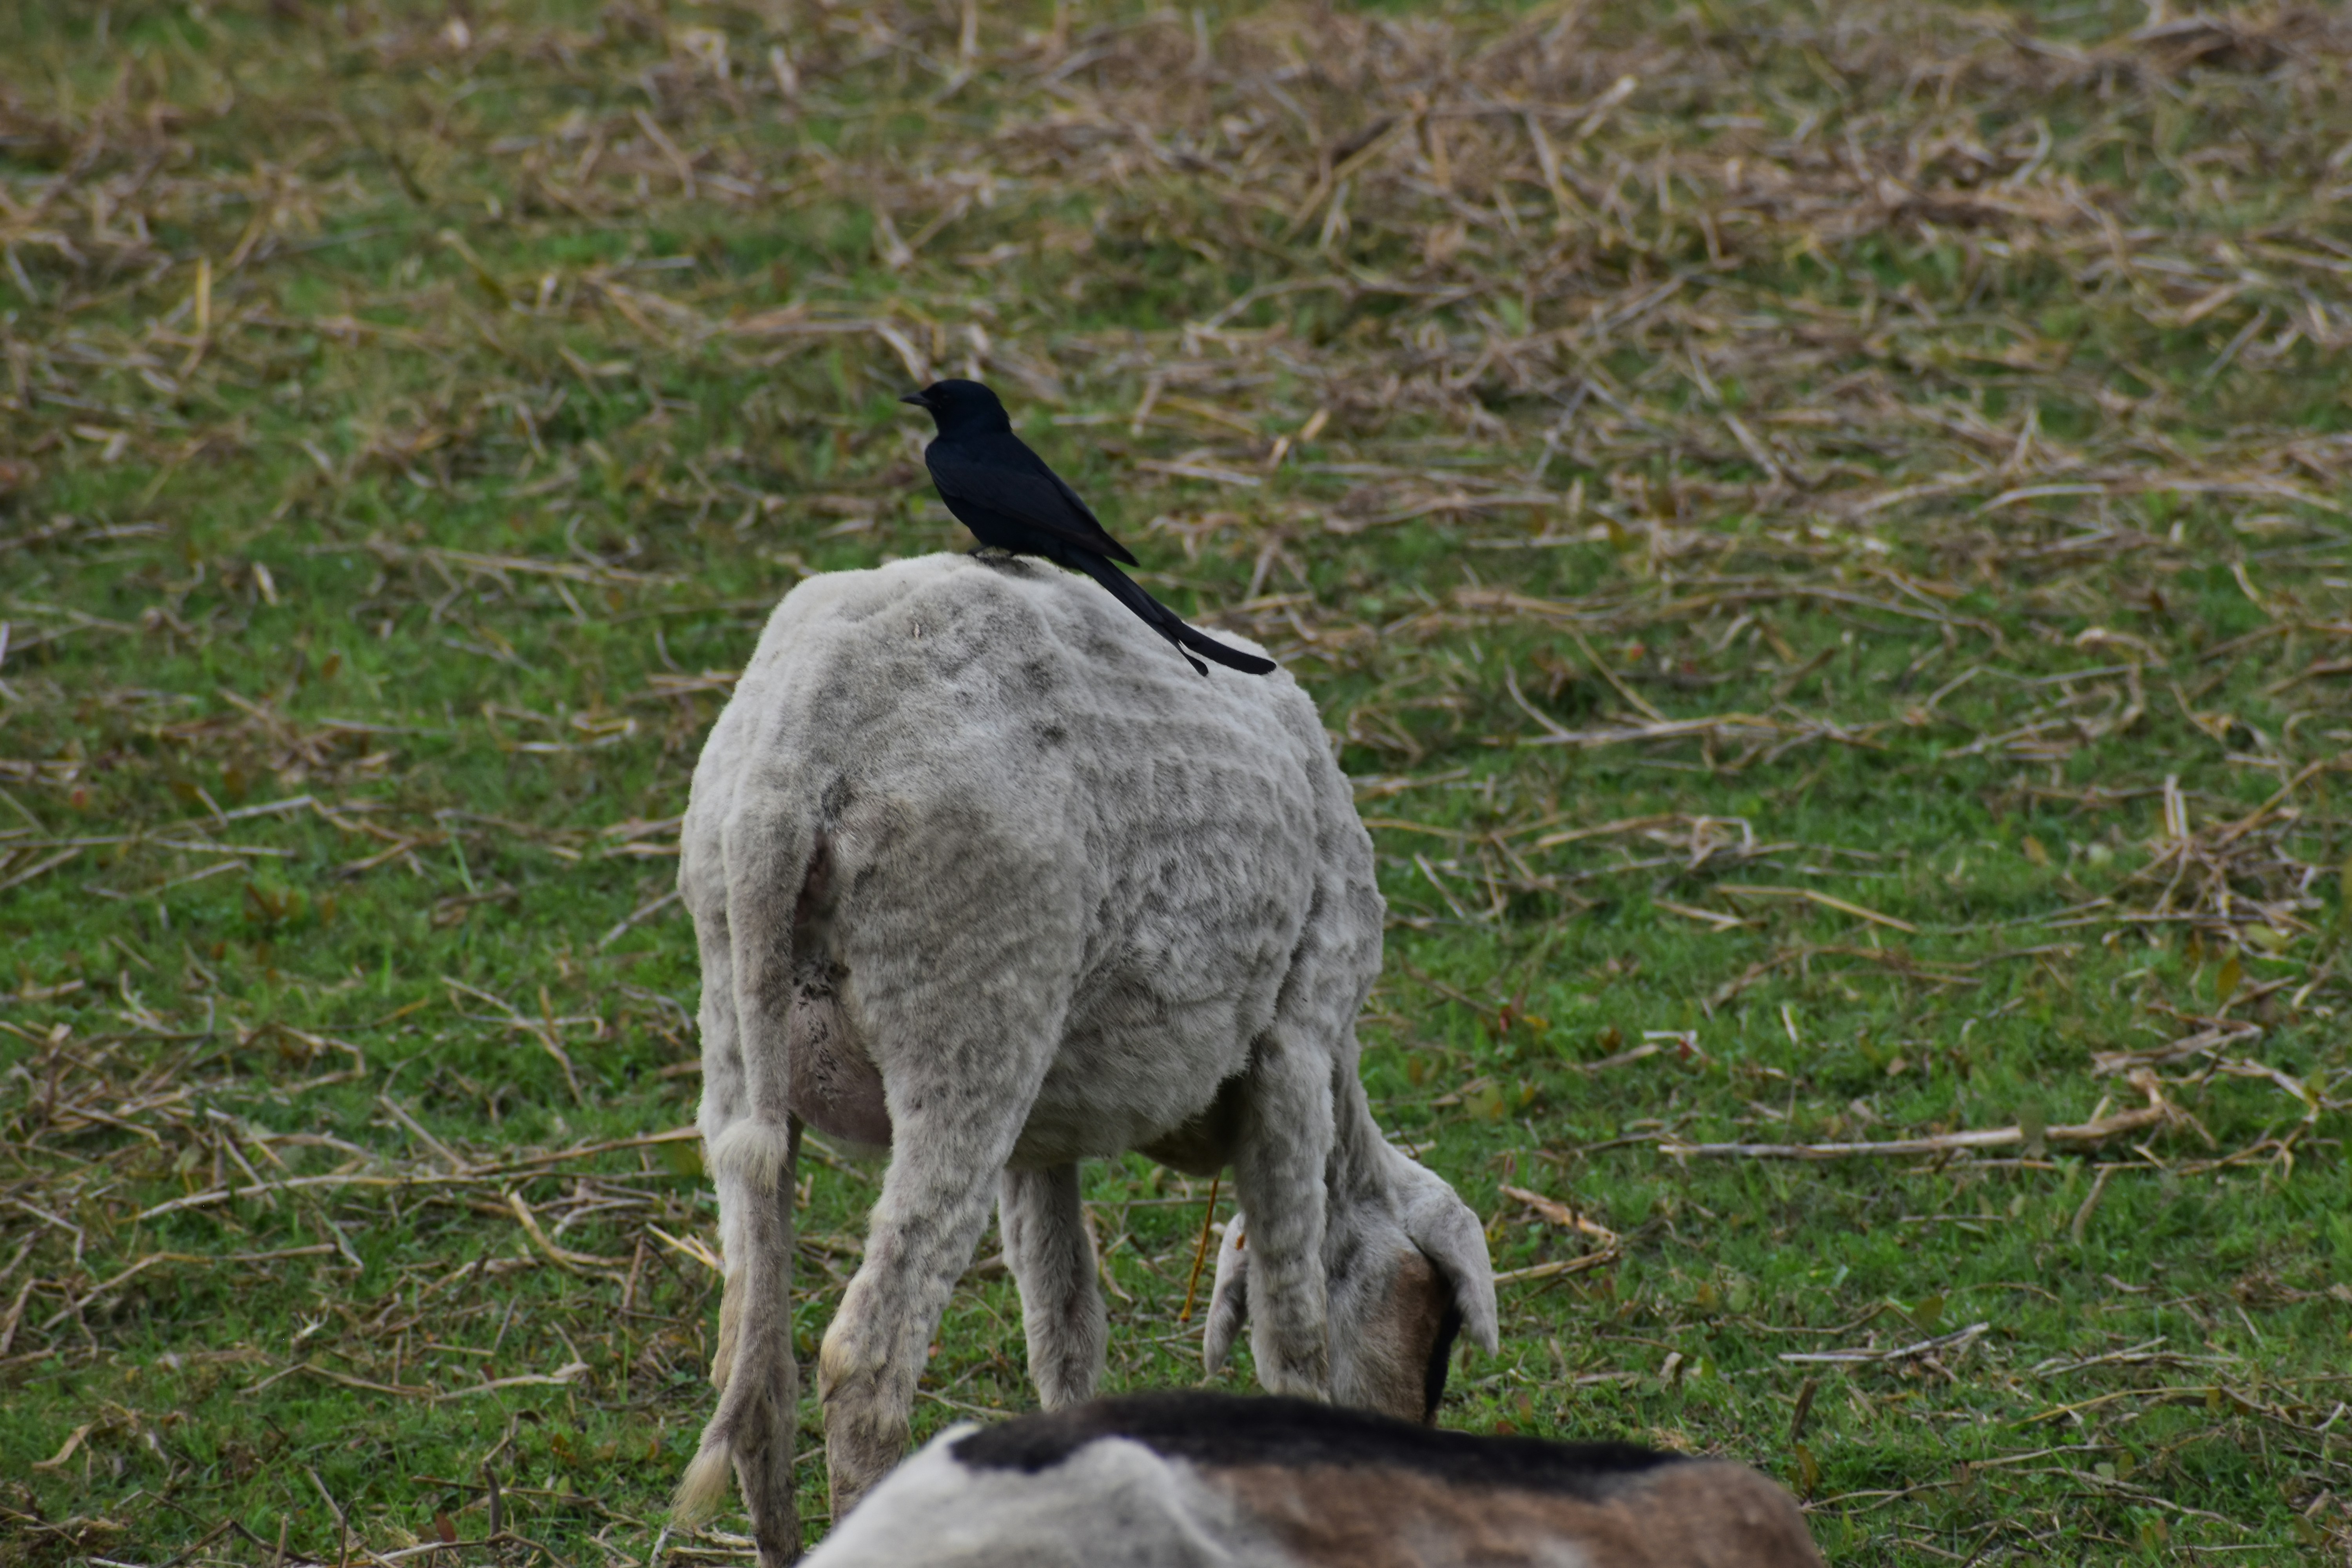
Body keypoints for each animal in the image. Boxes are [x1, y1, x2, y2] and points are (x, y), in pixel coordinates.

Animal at [673, 552, 1499, 1565]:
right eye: (1440, 1332)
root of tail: (799, 758)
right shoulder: (1297, 1047)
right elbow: (1293, 1333)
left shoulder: (1043, 1144)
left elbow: (1065, 1331)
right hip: (973, 1011)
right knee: (866, 1362)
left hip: (735, 1009)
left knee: (752, 1368)